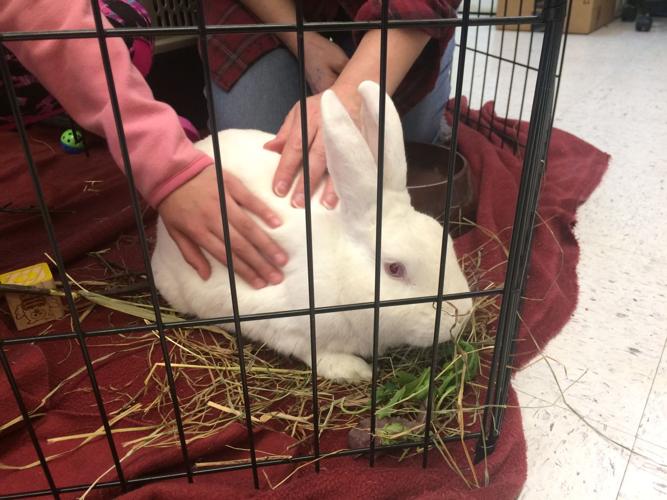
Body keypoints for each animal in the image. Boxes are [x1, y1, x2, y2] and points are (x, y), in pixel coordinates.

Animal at [151, 80, 473, 383]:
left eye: (444, 239)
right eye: (394, 268)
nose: (462, 316)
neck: (342, 272)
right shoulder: (281, 321)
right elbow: (312, 350)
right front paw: (353, 370)